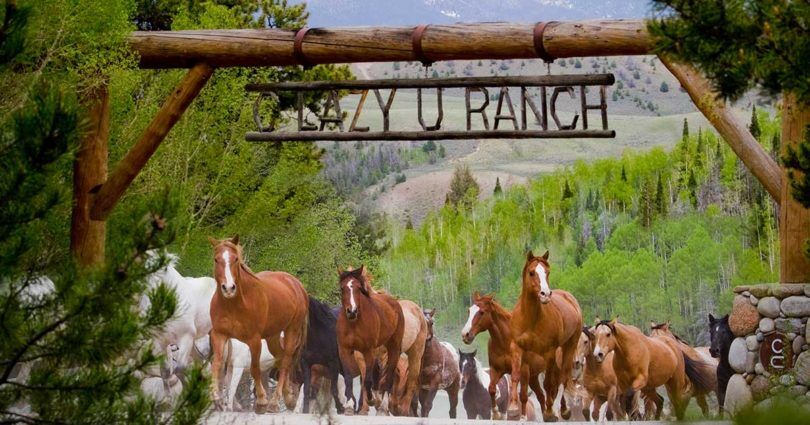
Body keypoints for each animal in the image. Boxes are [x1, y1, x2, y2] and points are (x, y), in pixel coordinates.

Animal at [208, 236, 309, 413]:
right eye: (216, 259)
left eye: (235, 259)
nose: (229, 288)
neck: (233, 304)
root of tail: (296, 284)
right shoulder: (219, 335)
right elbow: (217, 364)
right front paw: (216, 398)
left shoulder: (253, 340)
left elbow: (255, 369)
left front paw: (261, 401)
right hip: (272, 336)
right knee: (281, 358)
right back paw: (287, 397)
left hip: (292, 330)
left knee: (285, 362)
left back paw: (274, 402)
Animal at [336, 265, 404, 415]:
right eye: (342, 288)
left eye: (358, 288)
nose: (352, 311)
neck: (354, 323)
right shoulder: (344, 350)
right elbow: (349, 378)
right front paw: (349, 406)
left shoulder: (368, 351)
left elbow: (367, 379)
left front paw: (371, 399)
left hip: (393, 348)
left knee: (389, 375)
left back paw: (383, 407)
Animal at [461, 291, 546, 419]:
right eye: (469, 311)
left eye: (481, 312)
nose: (465, 334)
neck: (506, 340)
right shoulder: (497, 369)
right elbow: (491, 388)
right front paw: (496, 412)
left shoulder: (522, 369)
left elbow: (520, 390)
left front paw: (516, 411)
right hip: (533, 377)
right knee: (541, 396)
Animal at [509, 250, 582, 422]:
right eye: (531, 272)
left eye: (547, 272)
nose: (545, 294)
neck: (530, 318)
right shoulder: (517, 348)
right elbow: (516, 376)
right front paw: (514, 409)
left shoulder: (549, 352)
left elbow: (549, 384)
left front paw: (549, 412)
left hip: (569, 346)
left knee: (562, 379)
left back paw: (560, 410)